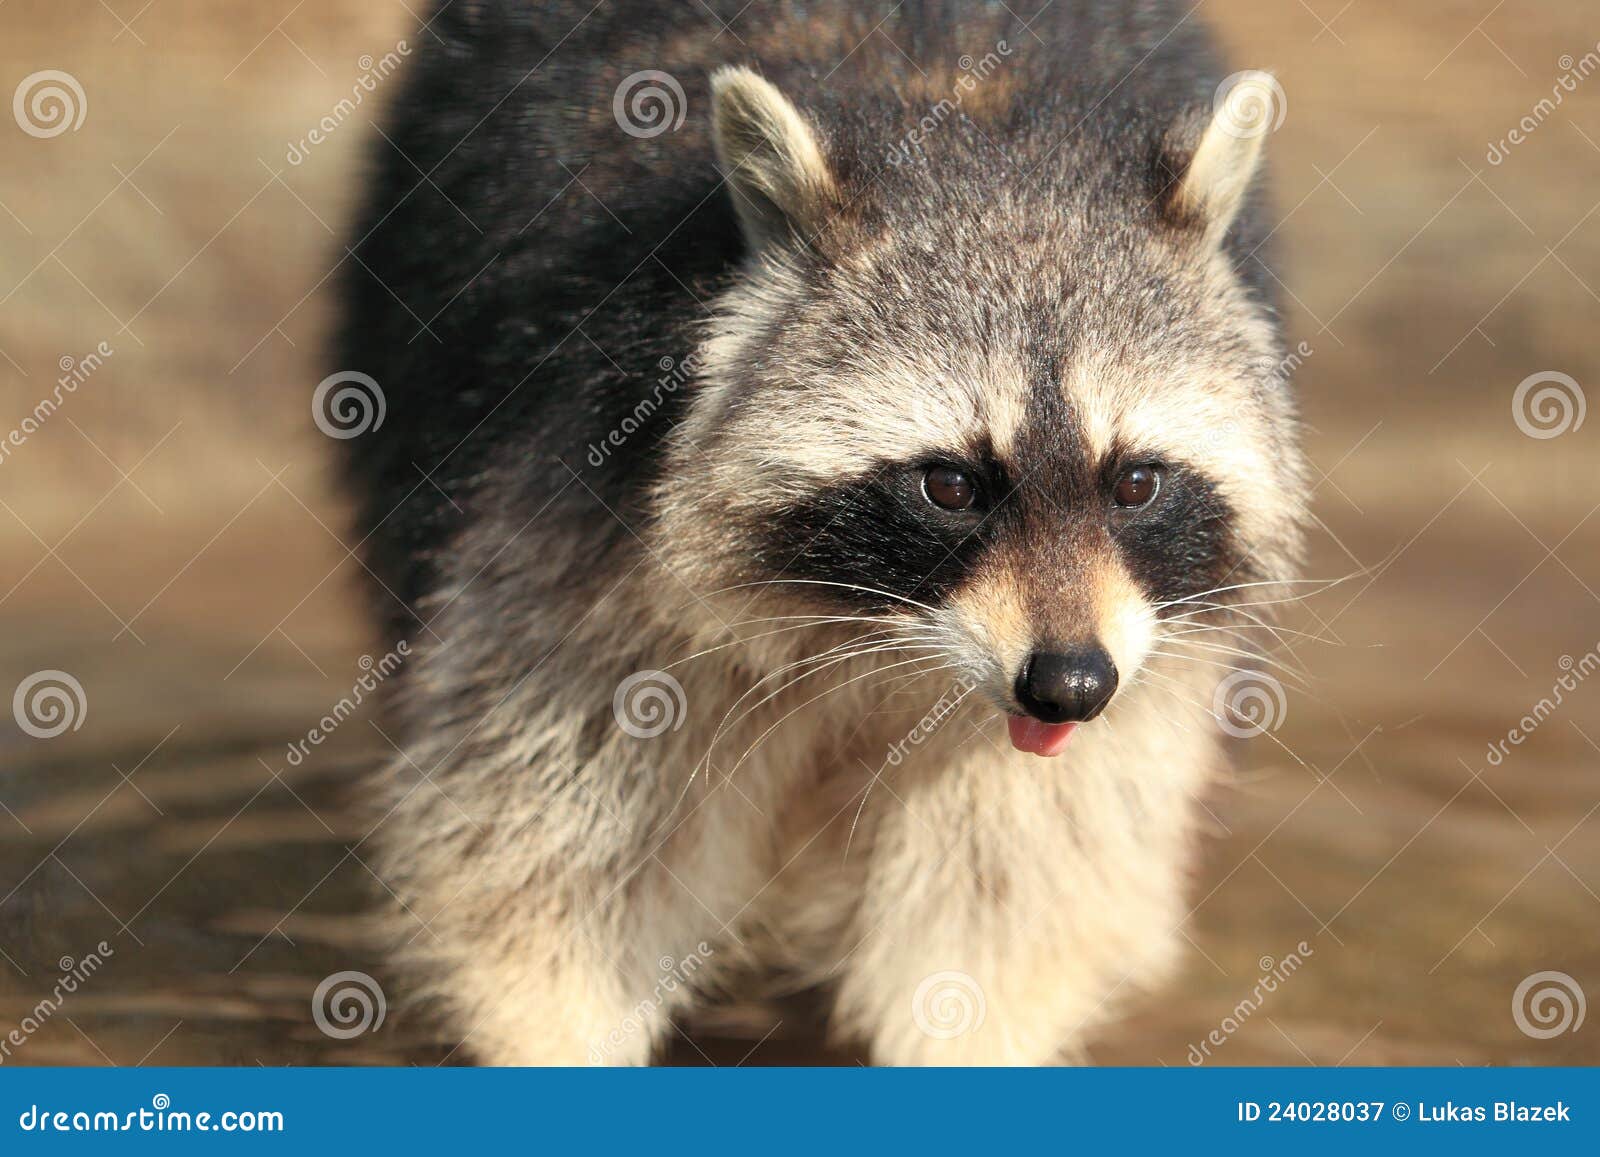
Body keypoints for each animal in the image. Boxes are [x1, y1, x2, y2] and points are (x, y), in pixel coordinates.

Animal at [334, 0, 1307, 1065]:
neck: (991, 149)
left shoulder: (1125, 668)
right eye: (950, 485)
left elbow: (1014, 879)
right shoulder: (585, 527)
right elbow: (544, 857)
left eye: (1135, 481)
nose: (1070, 686)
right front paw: (556, 1040)